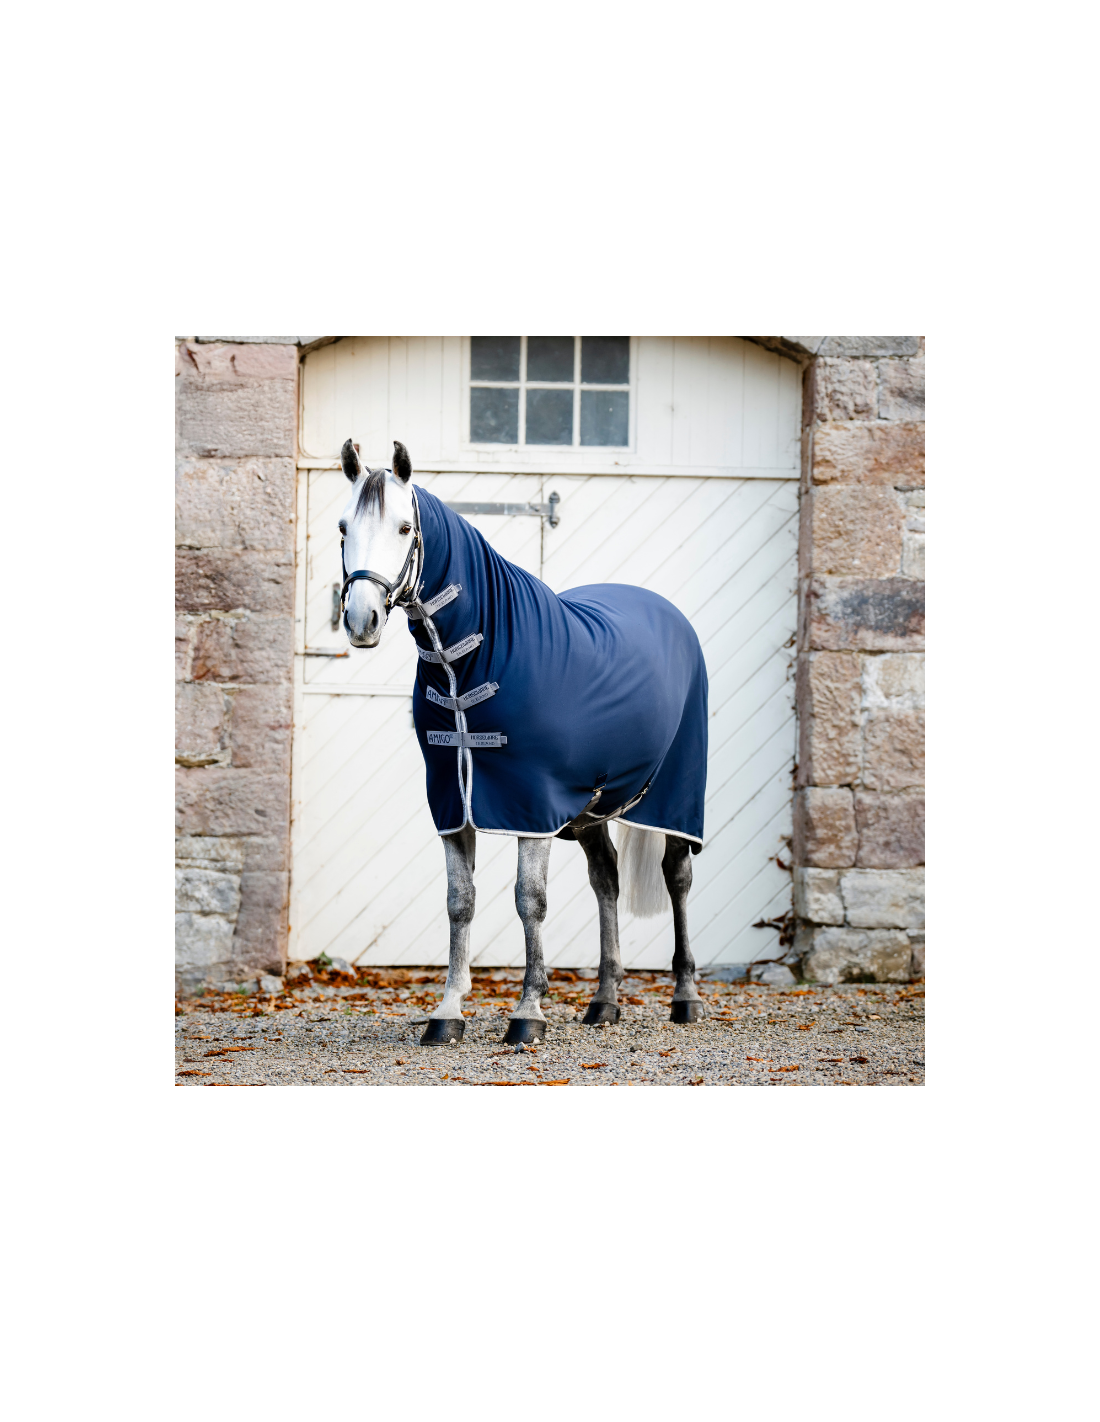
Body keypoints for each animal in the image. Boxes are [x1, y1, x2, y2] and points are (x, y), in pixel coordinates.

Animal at [337, 438, 709, 1046]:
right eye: (344, 525)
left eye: (403, 527)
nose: (360, 620)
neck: (467, 662)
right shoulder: (455, 802)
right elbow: (459, 903)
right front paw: (448, 1013)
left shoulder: (529, 804)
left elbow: (528, 901)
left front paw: (528, 1010)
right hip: (593, 809)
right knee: (606, 880)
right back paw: (604, 1002)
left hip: (675, 795)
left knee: (677, 876)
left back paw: (685, 996)